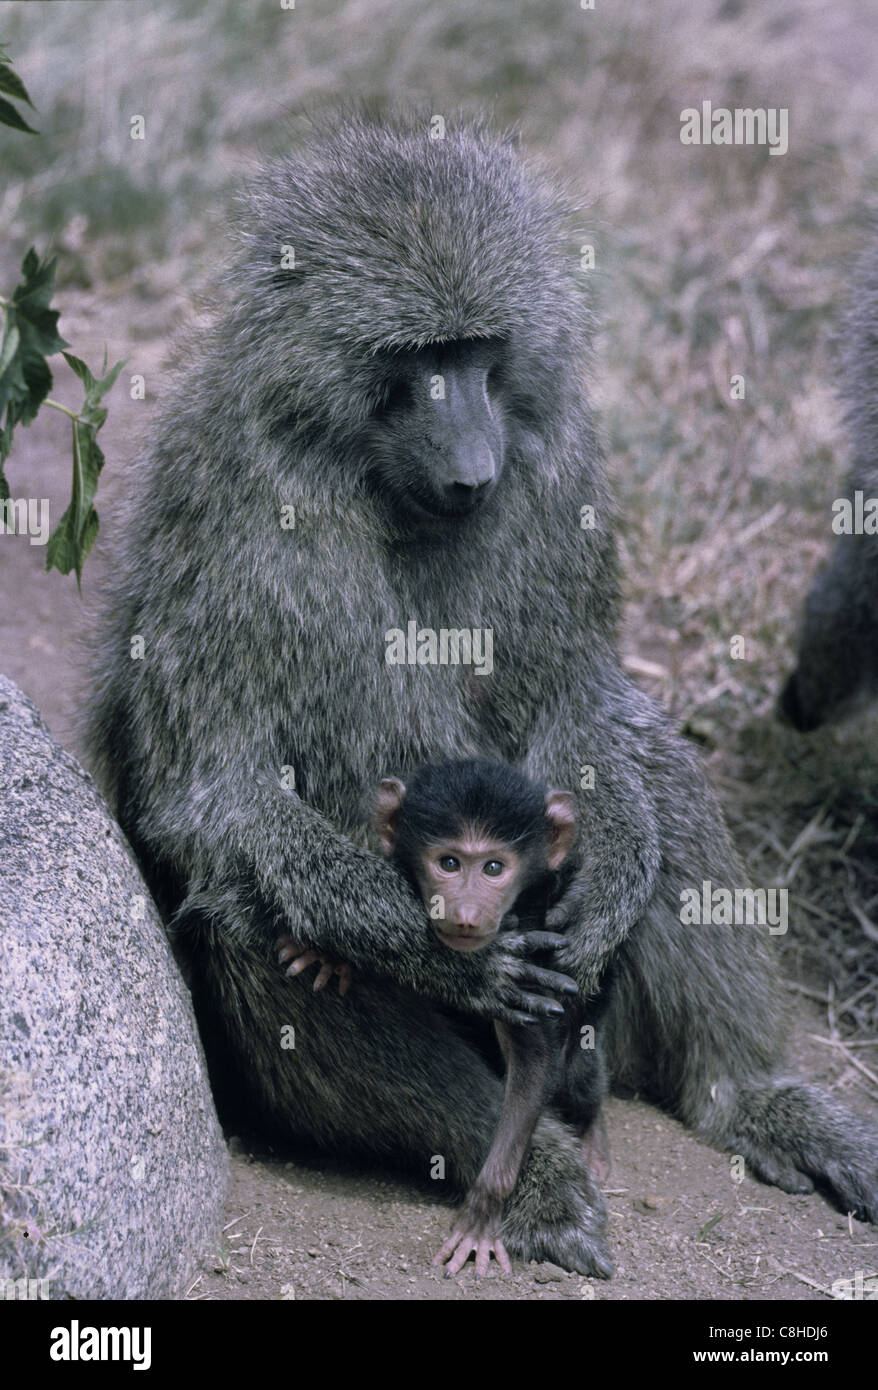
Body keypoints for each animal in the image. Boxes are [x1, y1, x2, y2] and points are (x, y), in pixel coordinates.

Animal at [367, 758, 608, 1276]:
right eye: (449, 863)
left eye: (494, 867)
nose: (467, 913)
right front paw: (320, 957)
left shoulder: (531, 933)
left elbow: (534, 1061)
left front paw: (483, 1211)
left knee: (580, 1075)